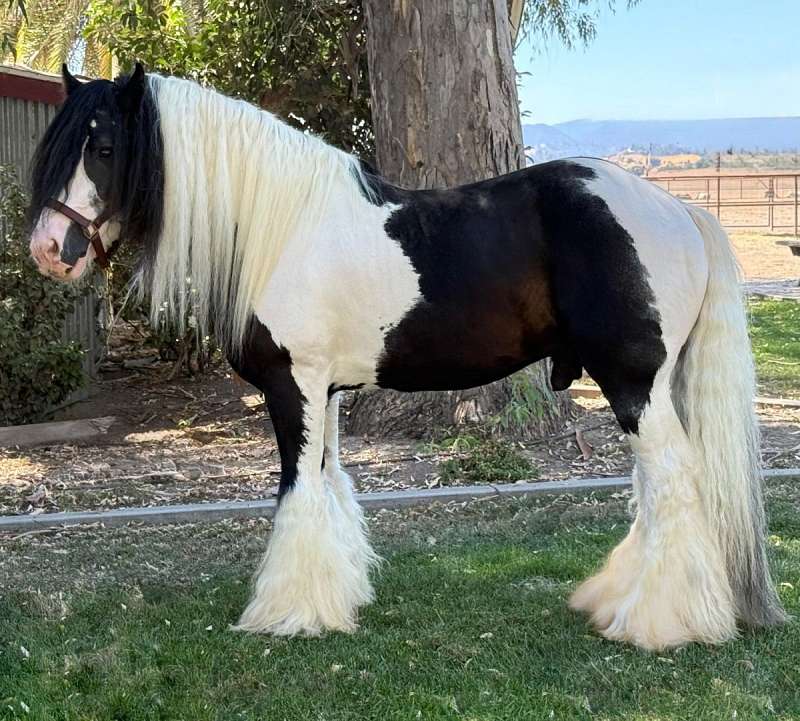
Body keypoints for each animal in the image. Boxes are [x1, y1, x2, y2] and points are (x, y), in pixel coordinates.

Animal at [27, 64, 785, 650]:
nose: (47, 250)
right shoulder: (325, 390)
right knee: (656, 490)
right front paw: (337, 598)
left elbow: (297, 492)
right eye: (54, 146)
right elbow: (329, 486)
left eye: (102, 146)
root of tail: (678, 210)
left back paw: (660, 623)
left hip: (633, 383)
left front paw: (287, 614)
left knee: (674, 484)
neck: (284, 226)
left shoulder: (292, 386)